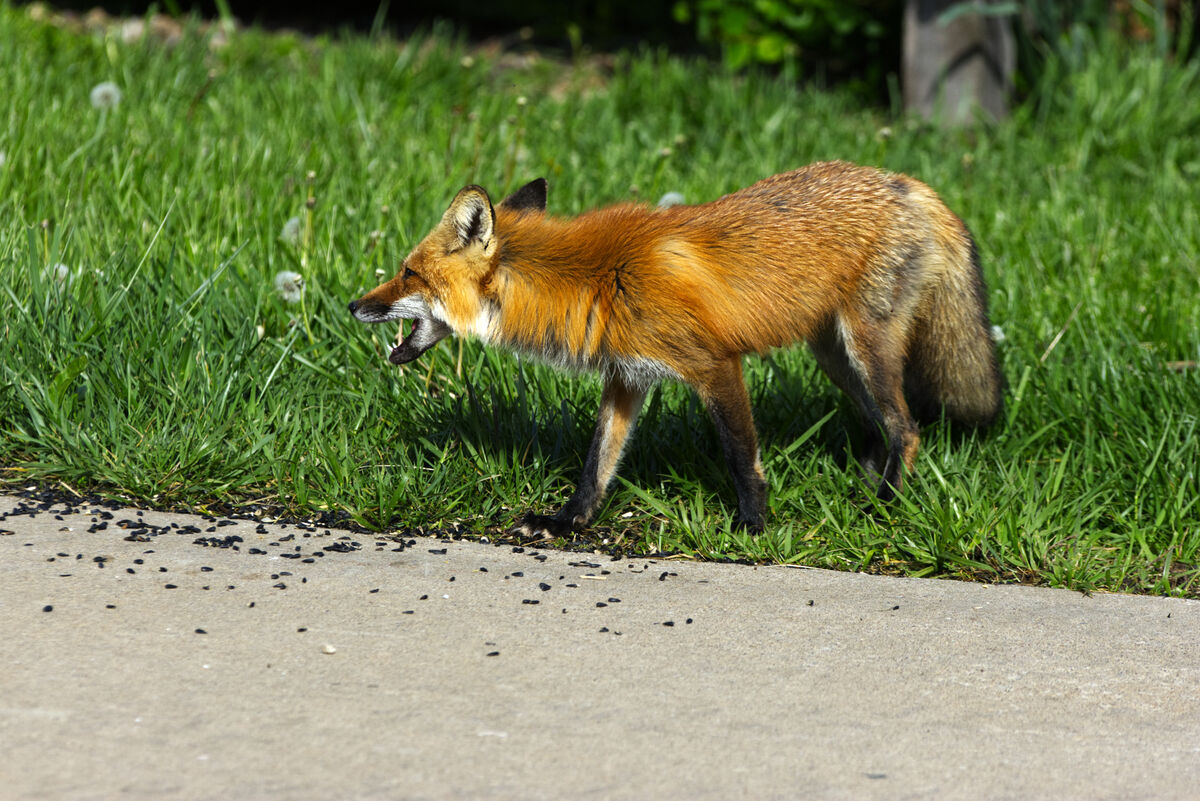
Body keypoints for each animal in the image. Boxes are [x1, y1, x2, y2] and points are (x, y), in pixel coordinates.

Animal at [348, 161, 1003, 534]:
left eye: (408, 274)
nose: (354, 305)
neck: (592, 278)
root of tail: (916, 186)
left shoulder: (714, 365)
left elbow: (742, 457)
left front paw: (753, 525)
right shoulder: (626, 378)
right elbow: (596, 464)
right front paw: (567, 523)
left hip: (865, 346)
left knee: (907, 428)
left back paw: (882, 508)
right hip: (837, 357)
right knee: (884, 427)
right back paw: (869, 488)